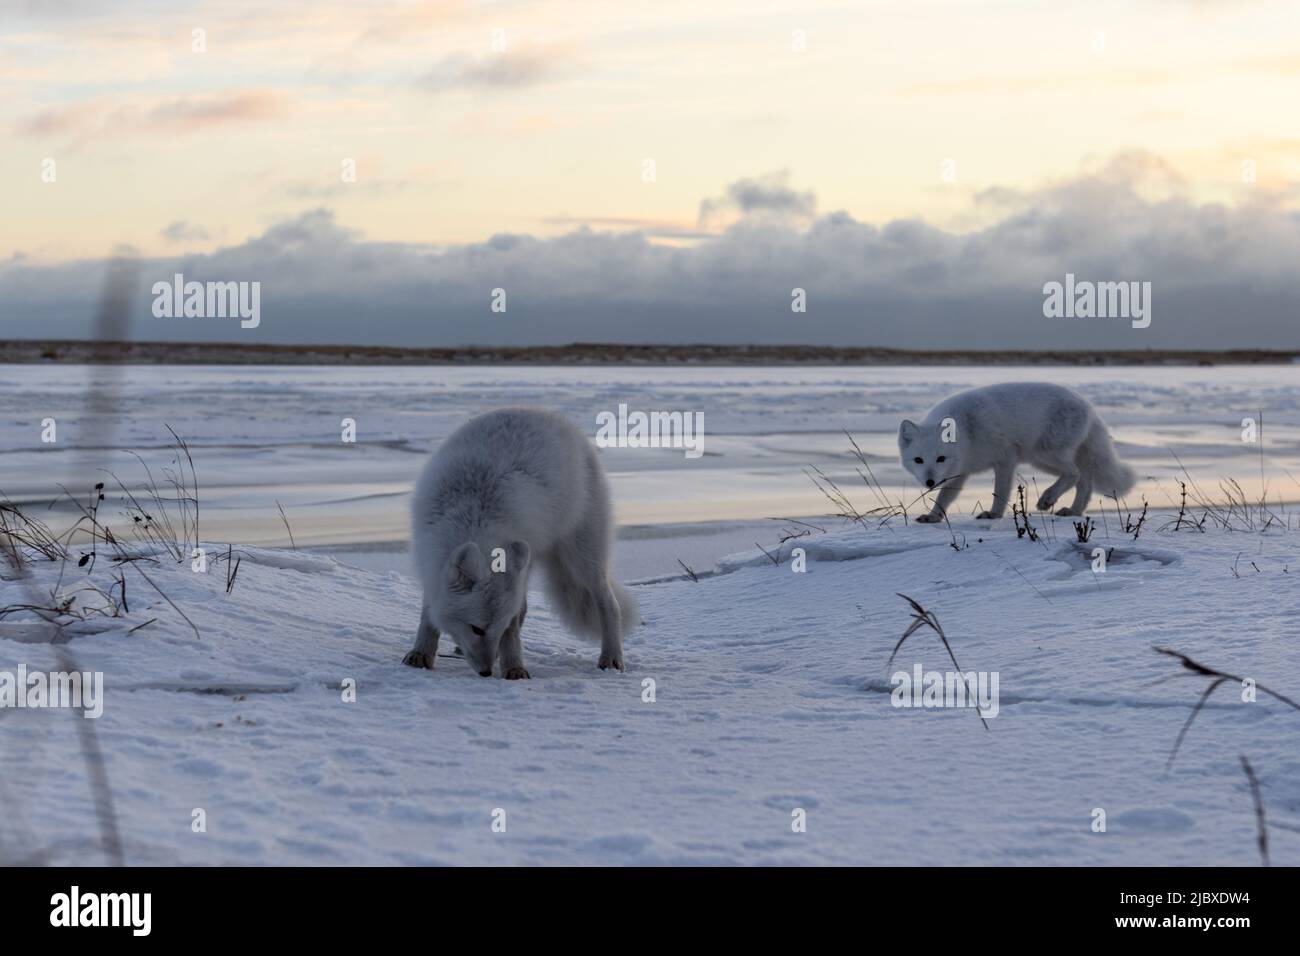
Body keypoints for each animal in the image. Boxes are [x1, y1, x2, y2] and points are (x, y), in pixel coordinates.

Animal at [404, 407, 638, 678]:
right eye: (476, 629)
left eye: (499, 628)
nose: (486, 672)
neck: (474, 513)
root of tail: (560, 420)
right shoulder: (430, 565)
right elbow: (428, 616)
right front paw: (421, 653)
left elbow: (514, 628)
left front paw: (514, 667)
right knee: (525, 606)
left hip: (583, 559)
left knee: (610, 605)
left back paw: (612, 657)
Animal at [898, 382, 1136, 522]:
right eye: (918, 460)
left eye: (941, 458)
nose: (930, 482)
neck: (967, 433)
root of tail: (1089, 406)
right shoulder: (960, 472)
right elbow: (946, 496)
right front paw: (933, 516)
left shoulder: (1006, 458)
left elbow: (1000, 490)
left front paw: (994, 514)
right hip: (1044, 460)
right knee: (1084, 482)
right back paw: (1074, 511)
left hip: (1044, 454)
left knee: (1074, 474)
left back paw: (1048, 498)